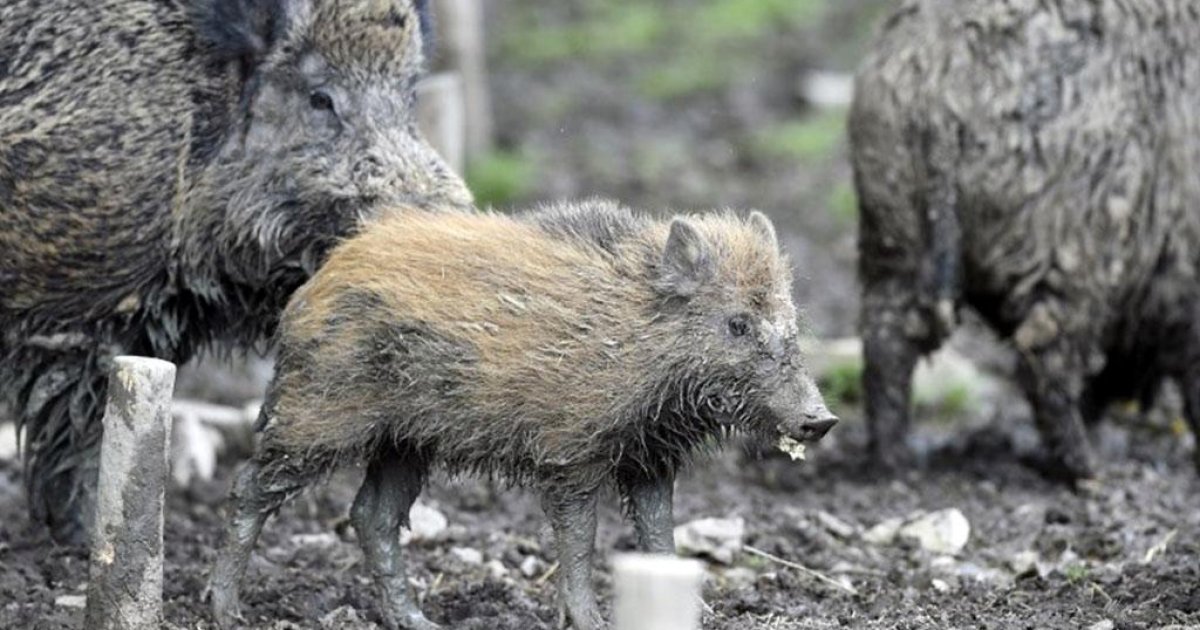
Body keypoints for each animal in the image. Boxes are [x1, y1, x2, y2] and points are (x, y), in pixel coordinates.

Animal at [206, 200, 838, 629]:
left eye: (791, 319)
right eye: (737, 323)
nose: (822, 420)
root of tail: (308, 292)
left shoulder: (650, 457)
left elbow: (660, 532)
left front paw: (700, 612)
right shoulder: (570, 453)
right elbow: (580, 539)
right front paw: (592, 622)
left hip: (404, 441)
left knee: (372, 516)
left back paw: (419, 622)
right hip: (316, 414)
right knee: (249, 489)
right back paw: (225, 611)